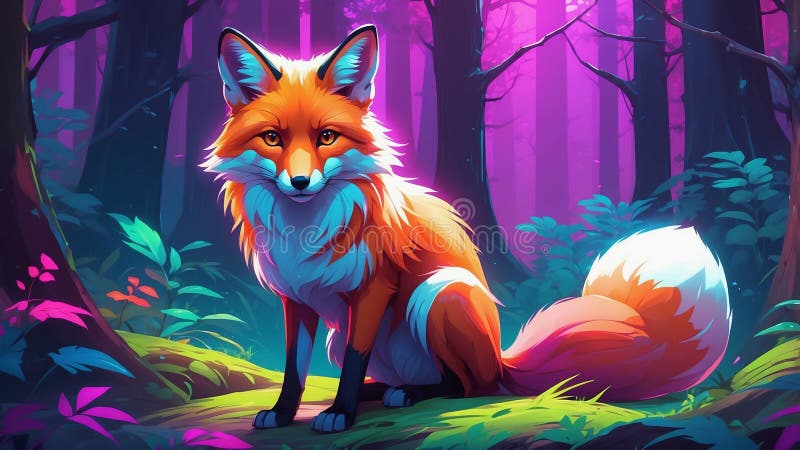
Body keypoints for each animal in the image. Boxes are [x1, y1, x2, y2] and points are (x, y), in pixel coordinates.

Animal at [204, 25, 732, 433]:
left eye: (326, 137)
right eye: (273, 138)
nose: (299, 182)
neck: (306, 229)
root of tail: (501, 357)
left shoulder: (375, 289)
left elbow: (355, 361)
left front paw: (340, 414)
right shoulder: (295, 297)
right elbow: (294, 366)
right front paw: (283, 412)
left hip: (438, 292)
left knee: (468, 386)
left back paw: (409, 394)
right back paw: (388, 389)